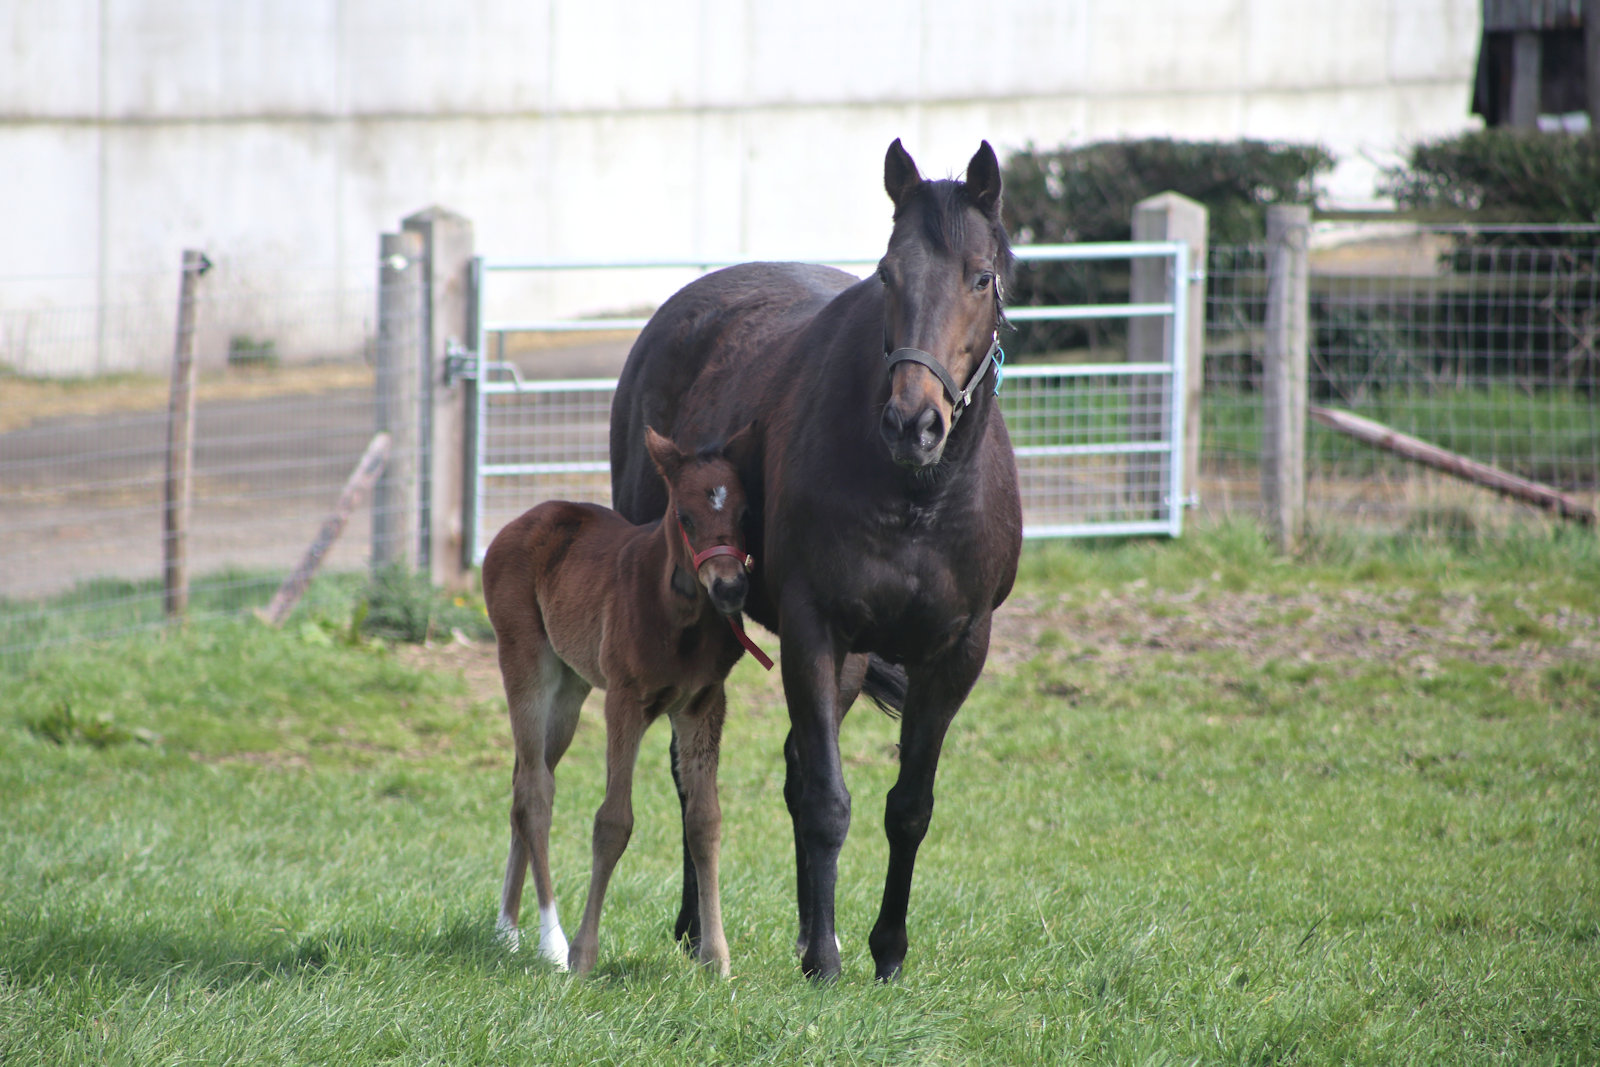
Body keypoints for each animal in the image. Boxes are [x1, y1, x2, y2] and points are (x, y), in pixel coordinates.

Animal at [483, 423, 762, 976]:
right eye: (685, 516)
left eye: (744, 513)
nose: (730, 588)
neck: (678, 616)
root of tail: (518, 522)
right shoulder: (625, 700)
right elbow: (613, 822)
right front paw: (584, 955)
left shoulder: (703, 703)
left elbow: (704, 821)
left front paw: (715, 958)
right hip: (525, 659)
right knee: (534, 791)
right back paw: (551, 941)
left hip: (570, 686)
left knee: (525, 779)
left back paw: (506, 929)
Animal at [610, 139, 1021, 981]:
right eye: (888, 273)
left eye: (981, 276)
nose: (913, 422)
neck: (918, 497)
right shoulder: (811, 627)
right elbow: (828, 799)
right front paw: (828, 960)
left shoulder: (955, 650)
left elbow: (907, 806)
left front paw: (884, 950)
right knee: (689, 768)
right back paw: (696, 924)